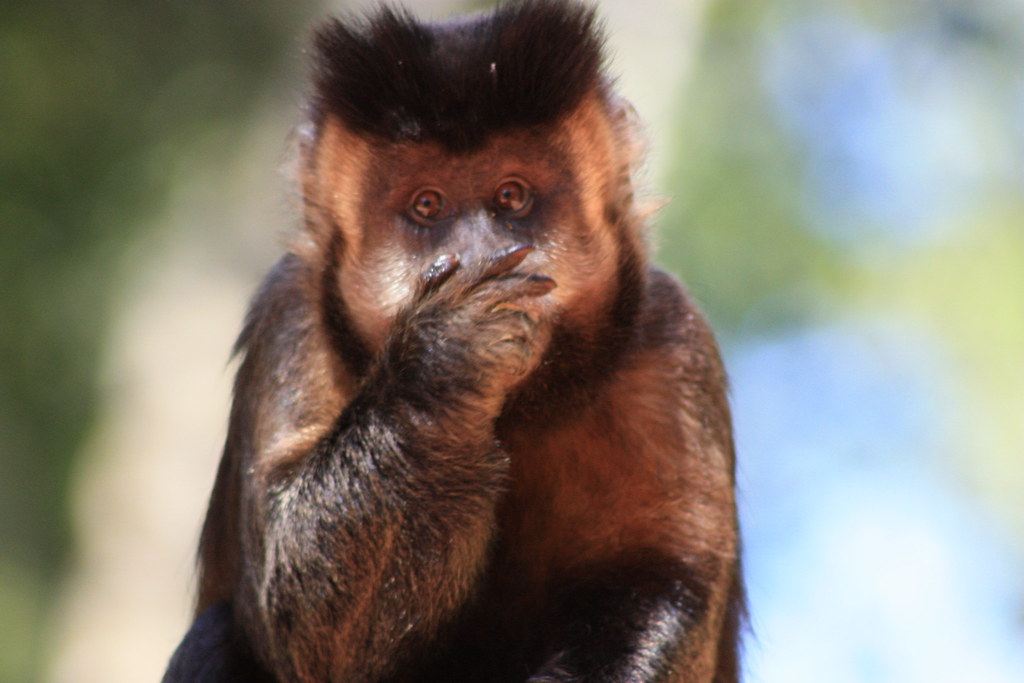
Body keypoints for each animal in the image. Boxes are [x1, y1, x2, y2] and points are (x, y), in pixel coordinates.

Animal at [164, 1, 743, 681]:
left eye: (511, 195)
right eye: (427, 205)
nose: (477, 254)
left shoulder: (671, 341)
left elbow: (662, 582)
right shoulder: (291, 318)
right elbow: (307, 637)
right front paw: (446, 356)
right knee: (219, 634)